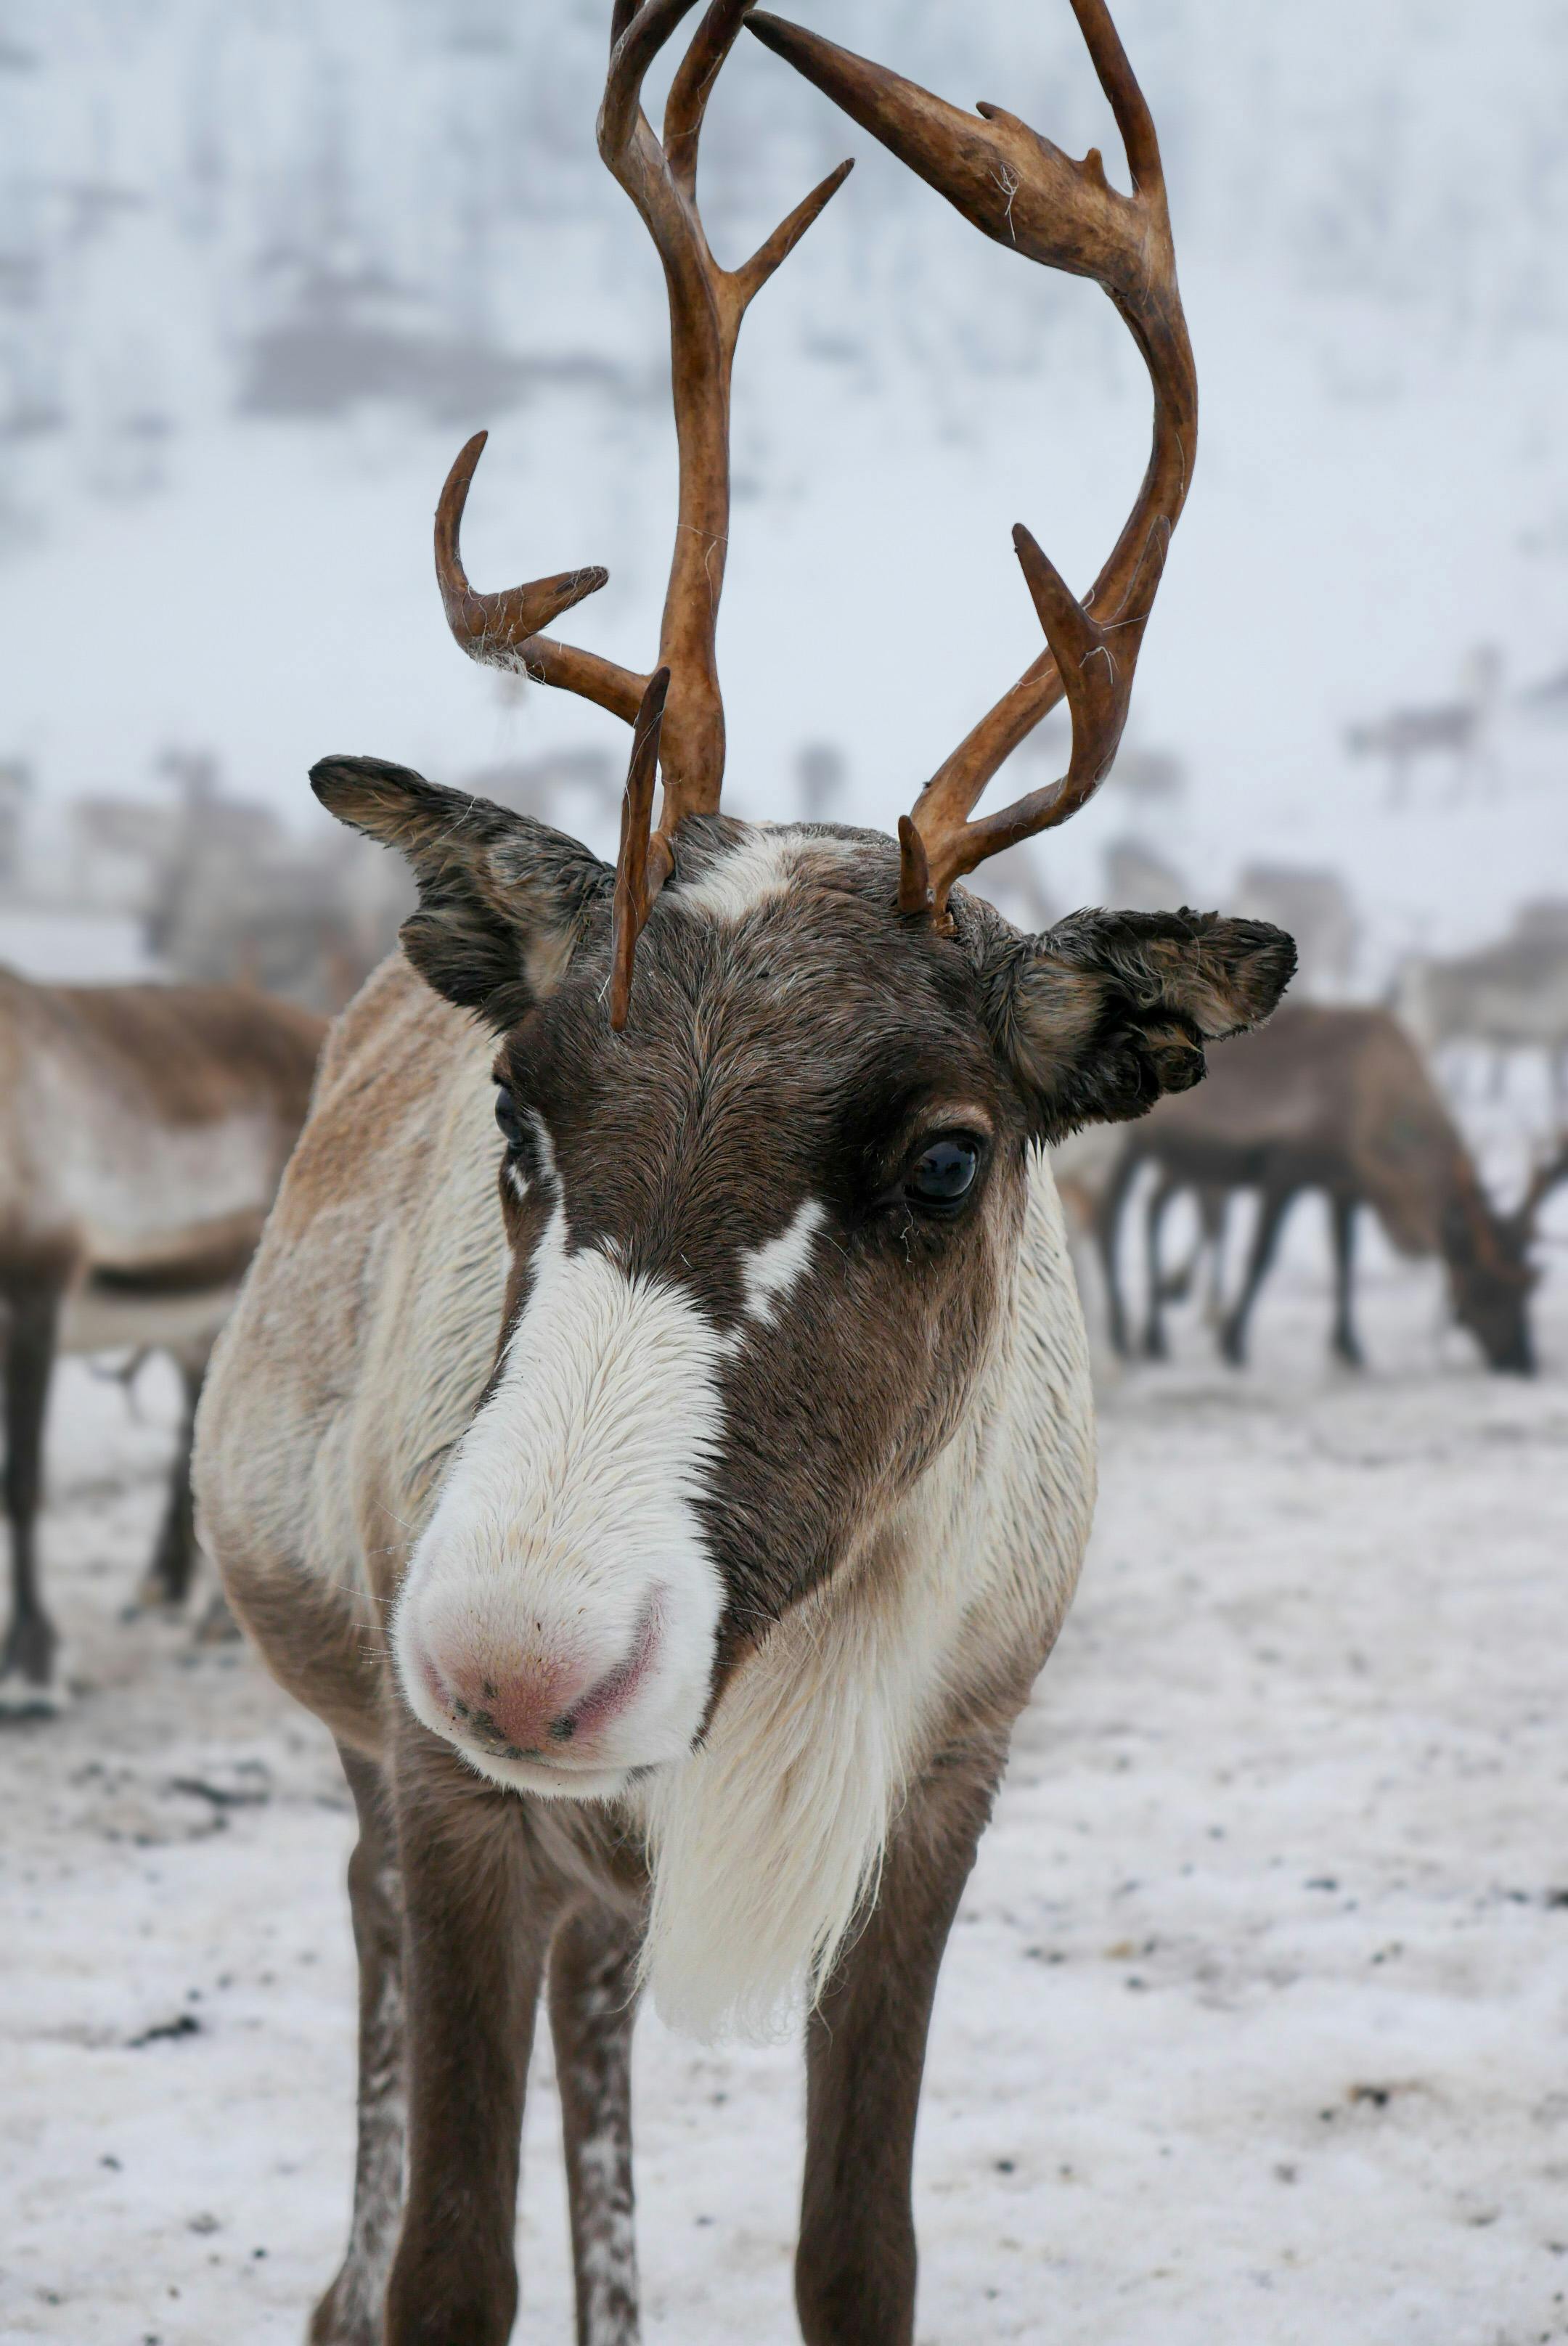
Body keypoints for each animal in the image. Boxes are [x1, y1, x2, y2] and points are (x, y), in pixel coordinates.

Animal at [191, 7, 1294, 2341]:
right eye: (518, 1112)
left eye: (950, 1158)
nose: (522, 1654)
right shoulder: (446, 1785)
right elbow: (446, 2268)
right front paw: (395, 2268)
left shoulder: (945, 1783)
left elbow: (856, 2251)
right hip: (368, 1723)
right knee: (377, 1938)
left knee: (602, 1993)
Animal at [1093, 1004, 1566, 1375]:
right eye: (1487, 1285)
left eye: (1528, 1287)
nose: (1521, 1362)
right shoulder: (1284, 1167)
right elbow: (1262, 1256)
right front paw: (1233, 1343)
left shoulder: (1343, 1186)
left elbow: (1345, 1259)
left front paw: (1349, 1347)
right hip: (1124, 1145)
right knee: (1110, 1216)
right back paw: (1120, 1333)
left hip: (1177, 1158)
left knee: (1152, 1207)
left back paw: (1154, 1334)